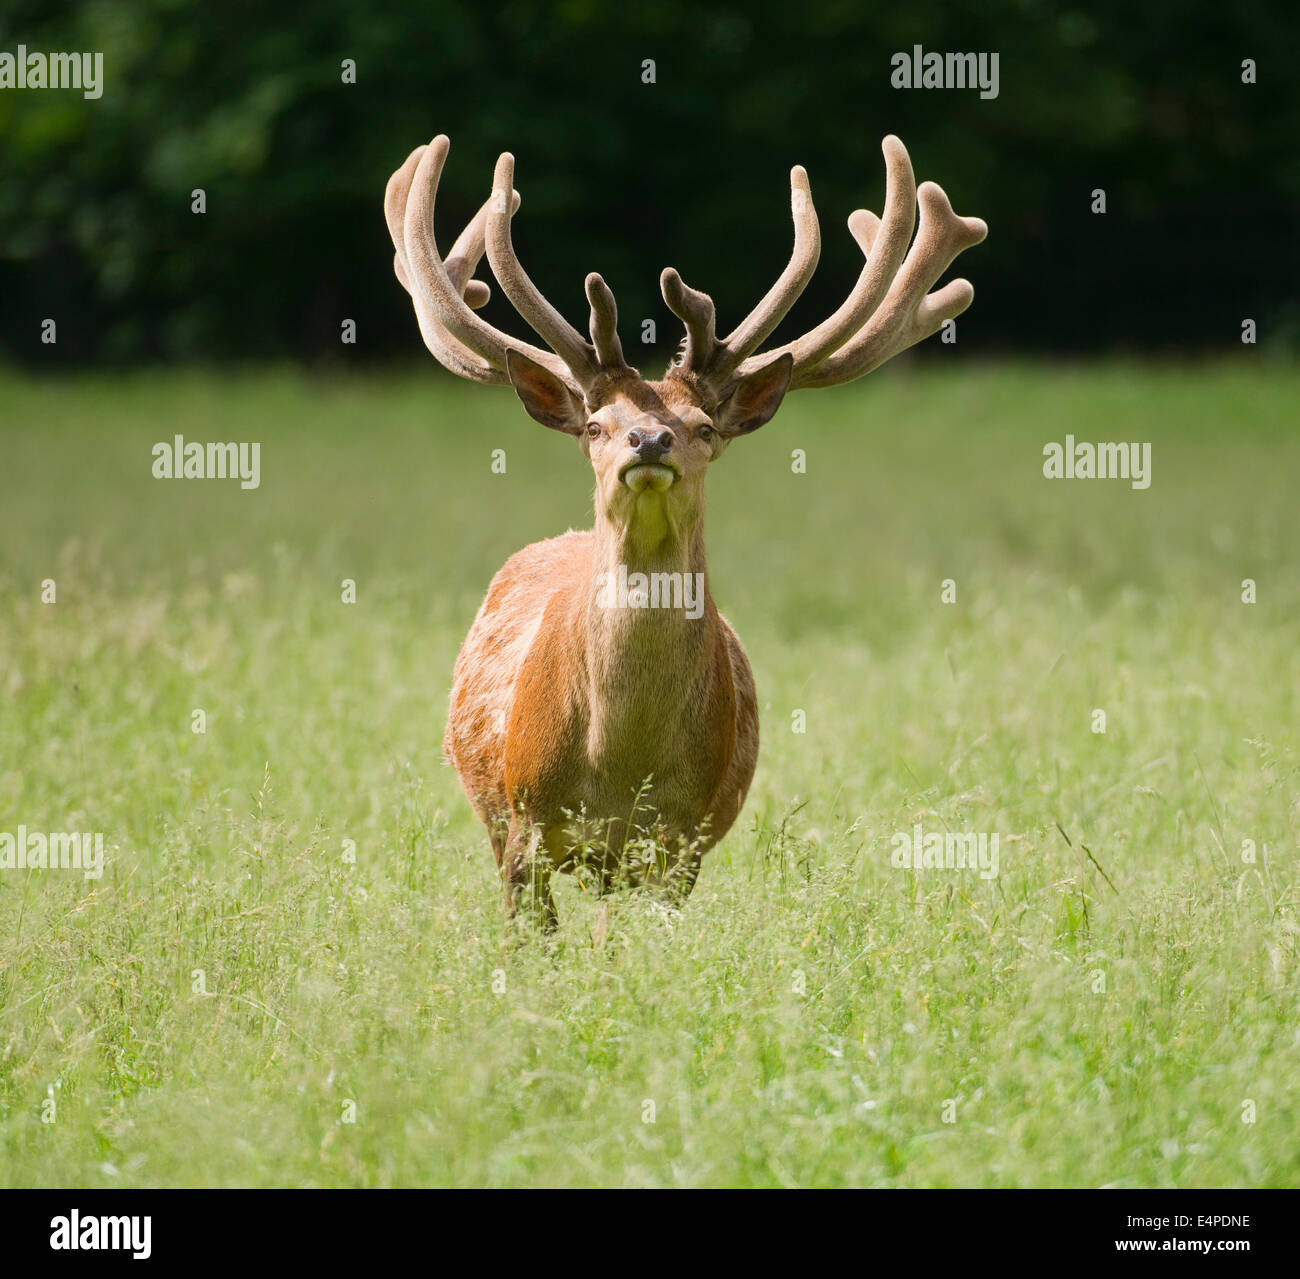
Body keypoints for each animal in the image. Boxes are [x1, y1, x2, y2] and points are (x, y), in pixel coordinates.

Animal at [384, 133, 986, 929]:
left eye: (703, 426)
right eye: (597, 425)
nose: (649, 439)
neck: (619, 767)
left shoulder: (678, 842)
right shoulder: (522, 823)